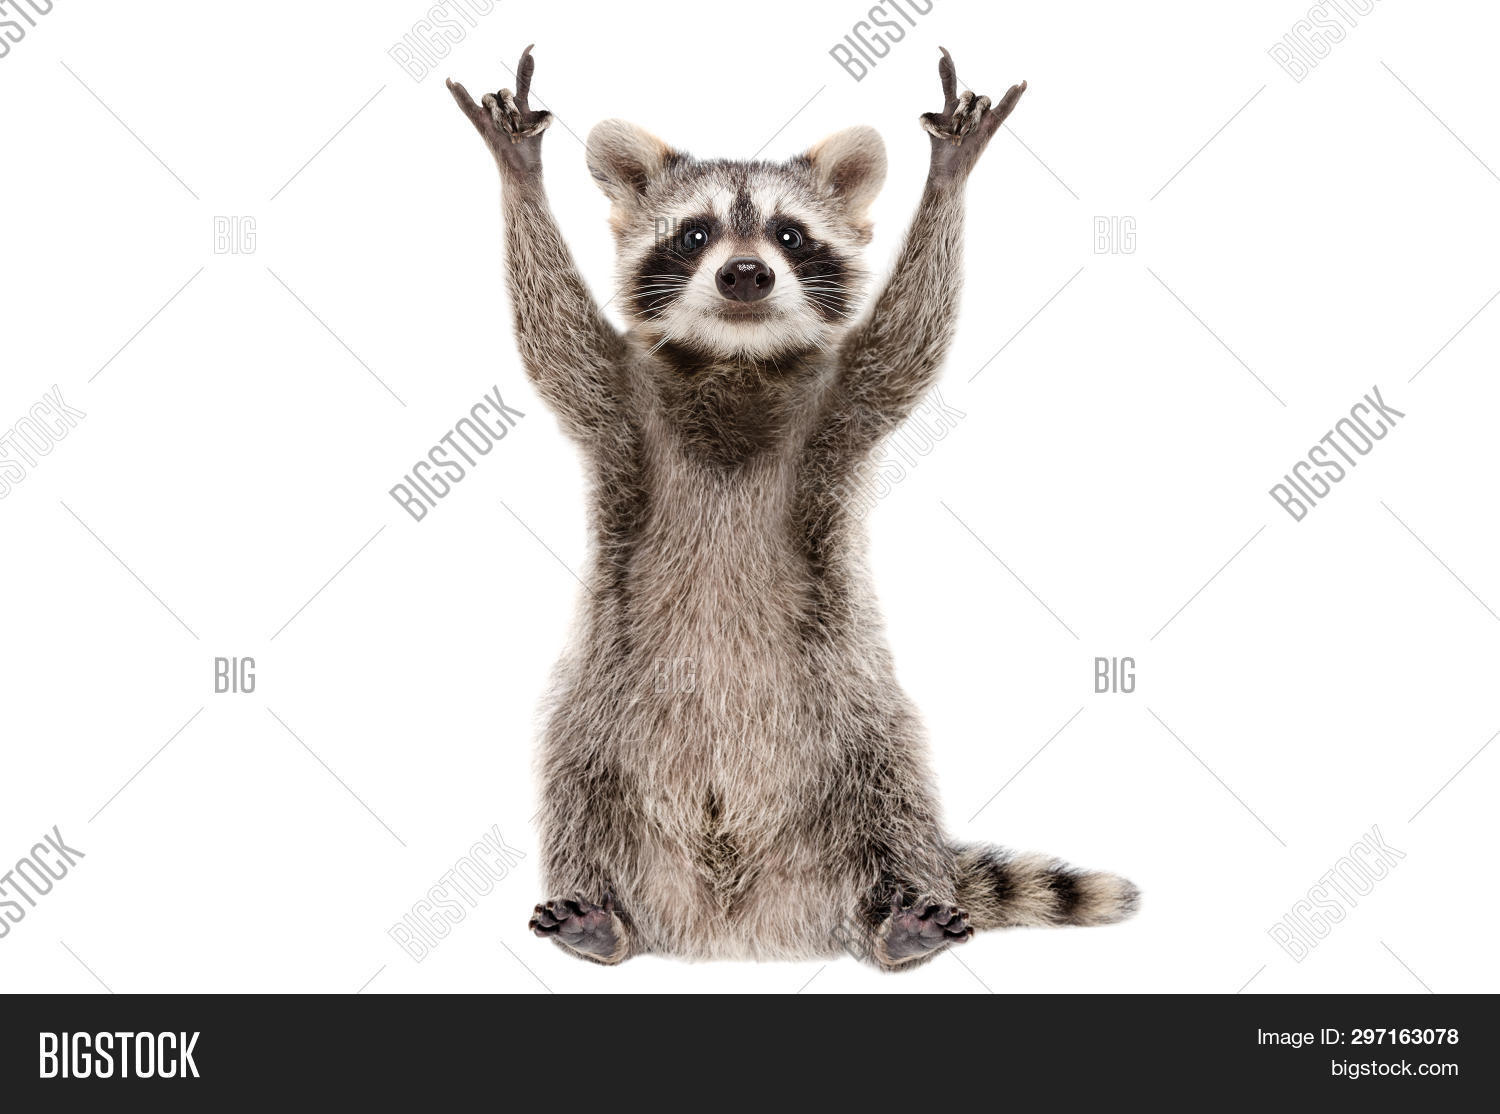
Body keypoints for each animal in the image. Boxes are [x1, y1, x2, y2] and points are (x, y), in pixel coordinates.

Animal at [448, 45, 1138, 970]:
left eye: (788, 234)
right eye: (695, 233)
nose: (745, 274)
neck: (735, 361)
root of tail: (737, 926)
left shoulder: (840, 405)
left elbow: (908, 340)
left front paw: (949, 178)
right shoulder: (618, 401)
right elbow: (553, 335)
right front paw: (521, 174)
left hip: (855, 711)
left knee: (895, 785)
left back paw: (897, 916)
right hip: (601, 700)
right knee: (576, 778)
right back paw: (602, 914)